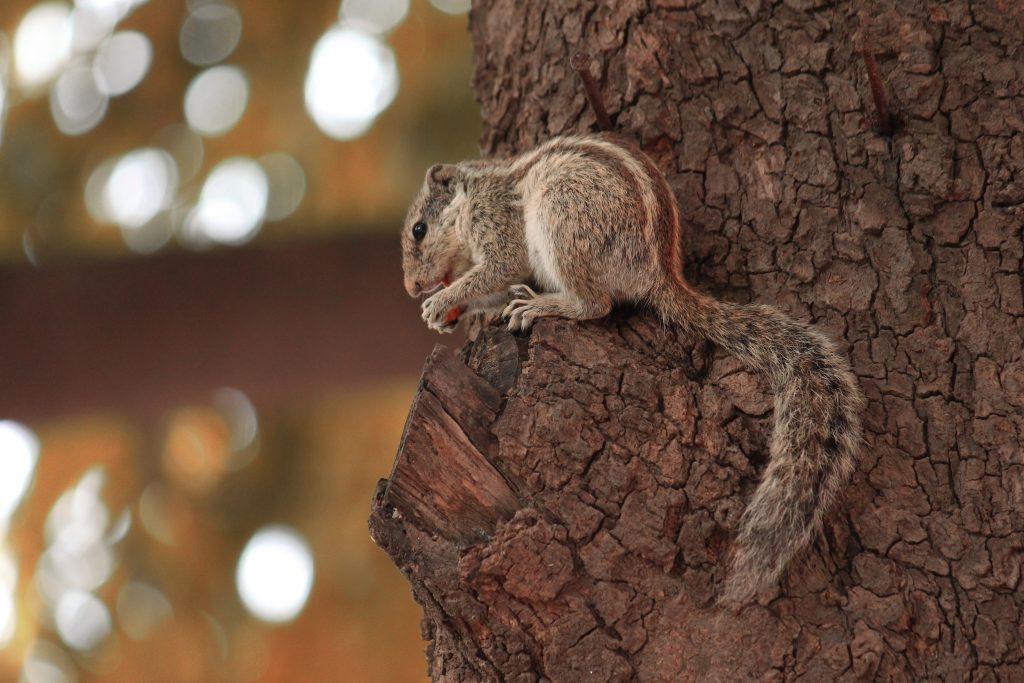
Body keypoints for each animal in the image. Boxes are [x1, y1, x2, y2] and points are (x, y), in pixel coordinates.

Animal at [400, 133, 864, 604]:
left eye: (419, 229)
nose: (412, 287)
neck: (476, 191)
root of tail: (657, 276)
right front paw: (447, 313)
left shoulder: (496, 222)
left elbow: (500, 267)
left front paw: (441, 301)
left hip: (566, 217)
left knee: (595, 304)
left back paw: (544, 304)